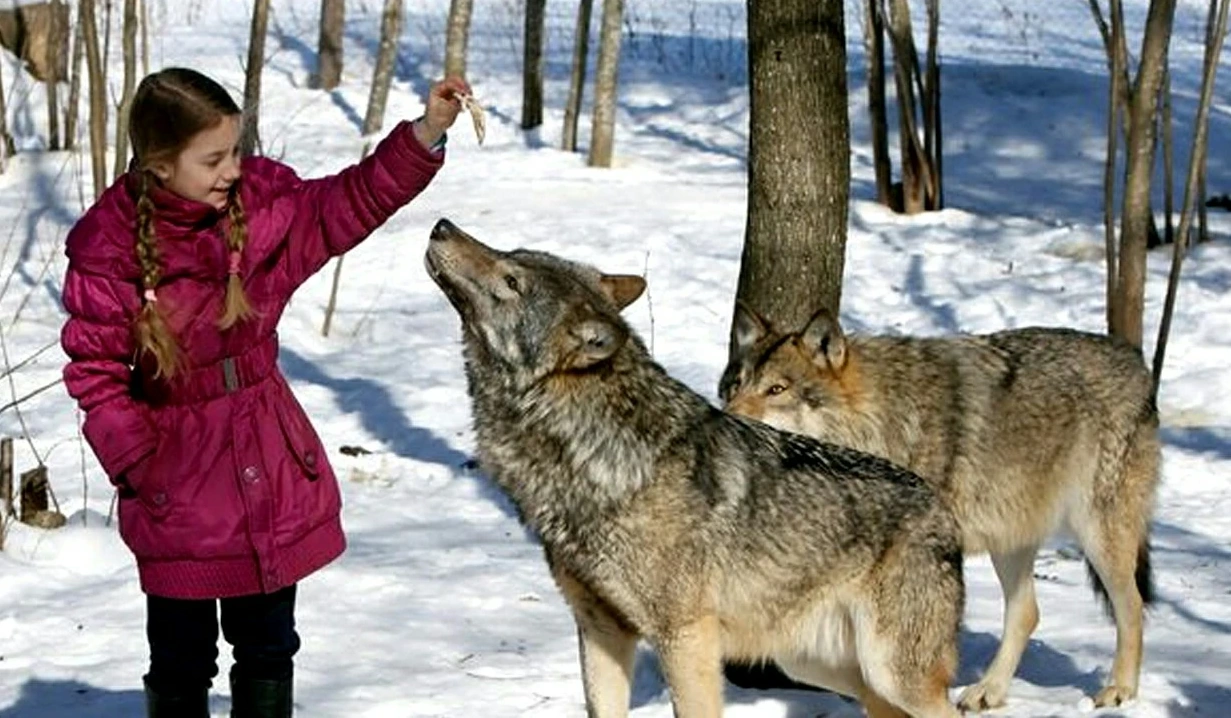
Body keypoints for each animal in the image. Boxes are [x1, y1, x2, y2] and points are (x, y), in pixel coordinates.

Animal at [425, 218, 966, 718]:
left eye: (510, 279)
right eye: (510, 258)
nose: (442, 226)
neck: (591, 456)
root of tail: (941, 507)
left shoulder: (685, 637)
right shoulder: (600, 631)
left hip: (894, 676)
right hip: (826, 668)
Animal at [719, 304, 1160, 711]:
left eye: (776, 390)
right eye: (734, 387)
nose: (728, 419)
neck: (879, 424)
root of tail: (1135, 359)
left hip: (1098, 534)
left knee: (1132, 605)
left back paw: (1120, 689)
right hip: (1010, 541)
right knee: (1028, 613)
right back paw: (989, 691)